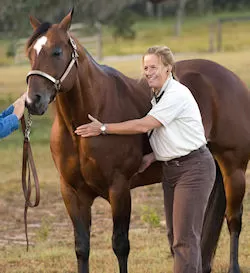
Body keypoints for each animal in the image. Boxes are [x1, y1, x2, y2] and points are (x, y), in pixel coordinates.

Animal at [24, 10, 249, 272]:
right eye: (30, 53)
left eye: (57, 52)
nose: (32, 101)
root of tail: (232, 79)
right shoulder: (72, 193)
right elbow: (82, 248)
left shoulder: (119, 188)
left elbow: (120, 245)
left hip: (234, 169)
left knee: (234, 220)